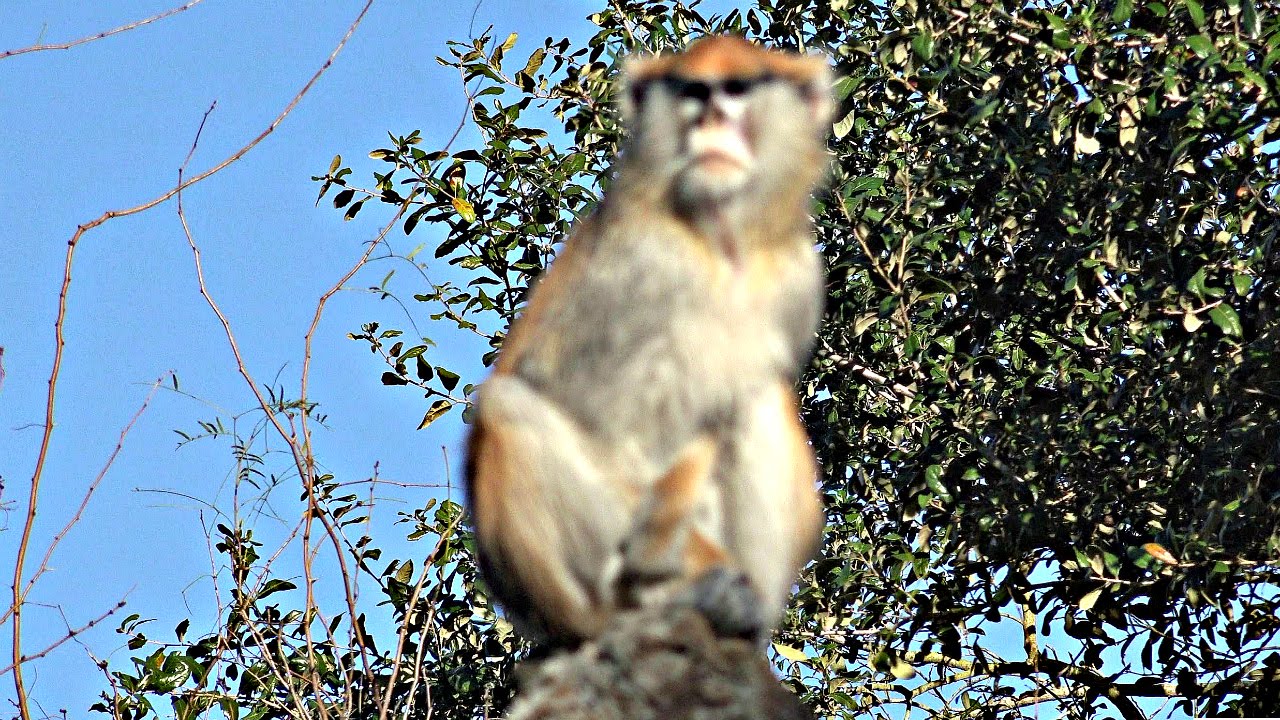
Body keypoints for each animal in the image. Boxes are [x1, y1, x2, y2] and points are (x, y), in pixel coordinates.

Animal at [465, 35, 833, 645]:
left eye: (736, 89)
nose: (710, 120)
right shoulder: (639, 269)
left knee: (758, 392)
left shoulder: (798, 276)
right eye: (693, 92)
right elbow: (590, 416)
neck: (717, 241)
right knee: (507, 407)